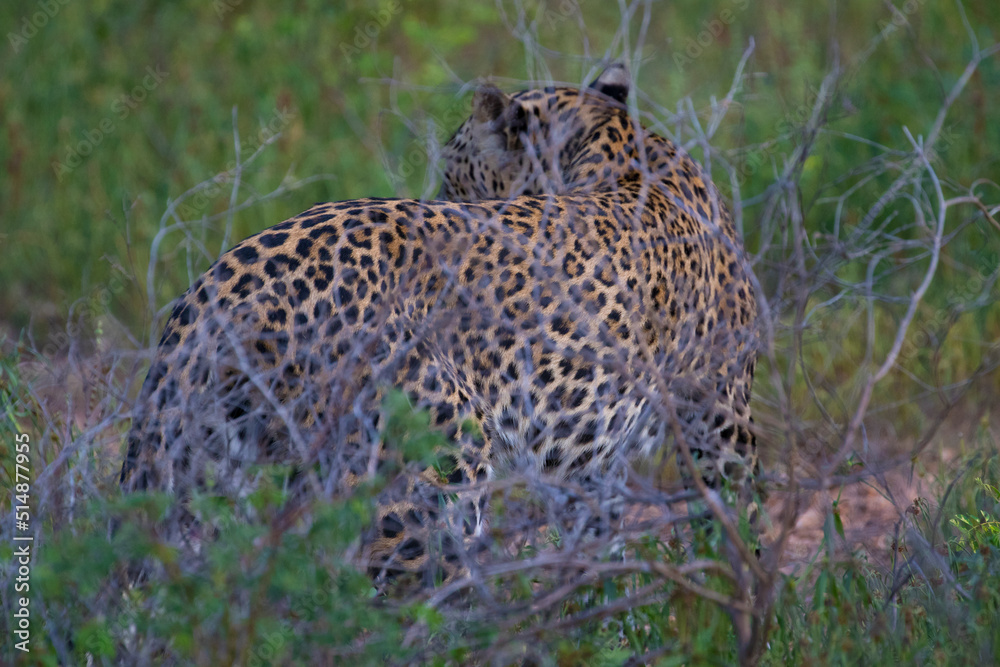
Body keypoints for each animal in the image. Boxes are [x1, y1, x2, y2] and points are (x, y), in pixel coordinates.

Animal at [120, 64, 759, 587]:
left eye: (455, 175)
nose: (440, 192)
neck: (618, 144)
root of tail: (224, 280)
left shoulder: (607, 456)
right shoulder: (718, 418)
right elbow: (736, 527)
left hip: (211, 464)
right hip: (431, 470)